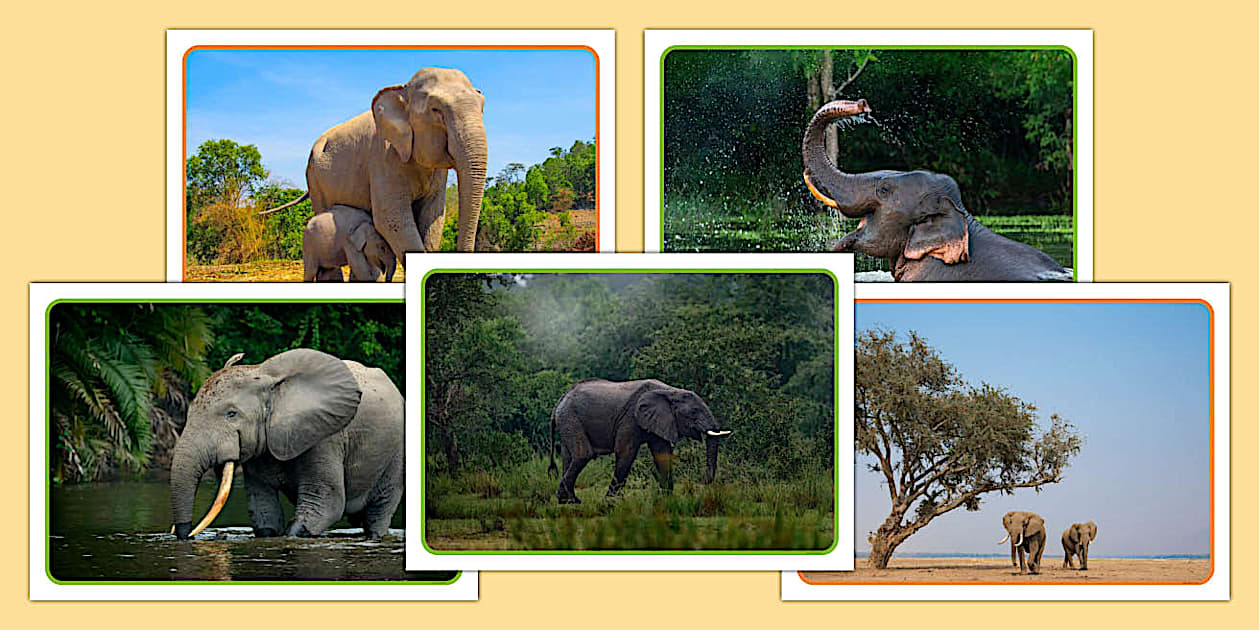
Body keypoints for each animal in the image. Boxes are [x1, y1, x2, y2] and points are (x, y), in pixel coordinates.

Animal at [170, 349, 404, 540]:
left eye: (231, 414)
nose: (187, 534)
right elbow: (264, 510)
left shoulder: (326, 437)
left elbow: (326, 504)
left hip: (397, 452)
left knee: (379, 511)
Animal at [262, 67, 487, 256]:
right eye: (435, 110)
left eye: (483, 107)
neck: (403, 89)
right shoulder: (383, 157)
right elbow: (391, 219)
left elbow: (432, 218)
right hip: (315, 180)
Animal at [547, 379, 732, 504]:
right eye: (693, 411)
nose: (701, 480)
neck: (670, 391)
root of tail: (559, 402)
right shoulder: (630, 418)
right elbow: (626, 453)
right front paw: (610, 502)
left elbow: (662, 454)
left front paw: (667, 499)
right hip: (570, 418)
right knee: (583, 454)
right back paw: (569, 500)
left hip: (568, 420)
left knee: (568, 457)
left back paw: (569, 501)